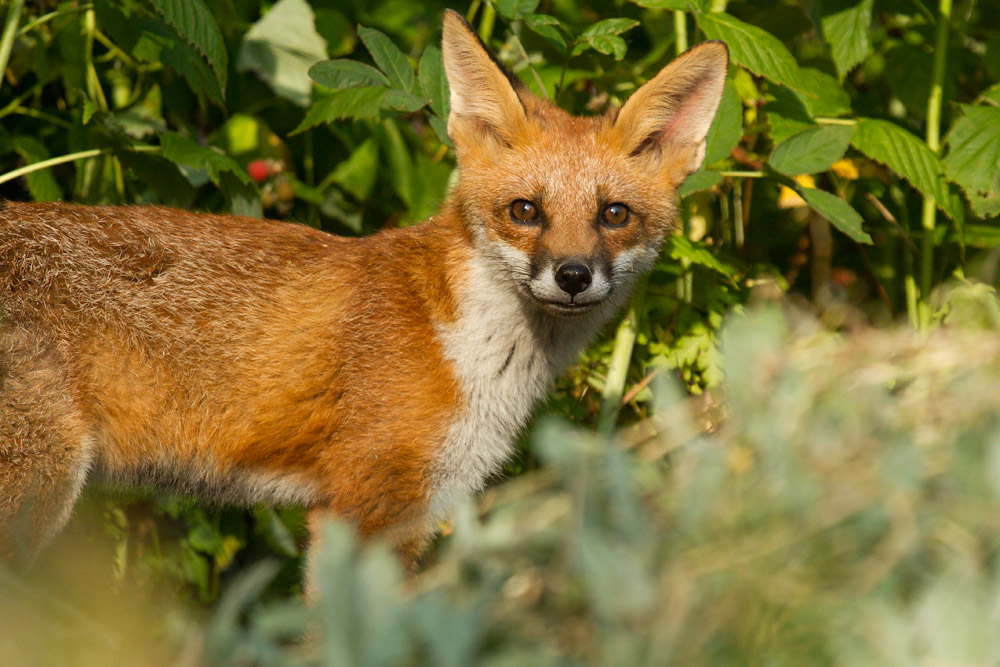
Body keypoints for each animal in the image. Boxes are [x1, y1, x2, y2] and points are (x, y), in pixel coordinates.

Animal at [0, 10, 727, 577]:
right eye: (525, 211)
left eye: (613, 214)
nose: (573, 275)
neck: (463, 346)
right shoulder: (366, 506)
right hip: (36, 495)